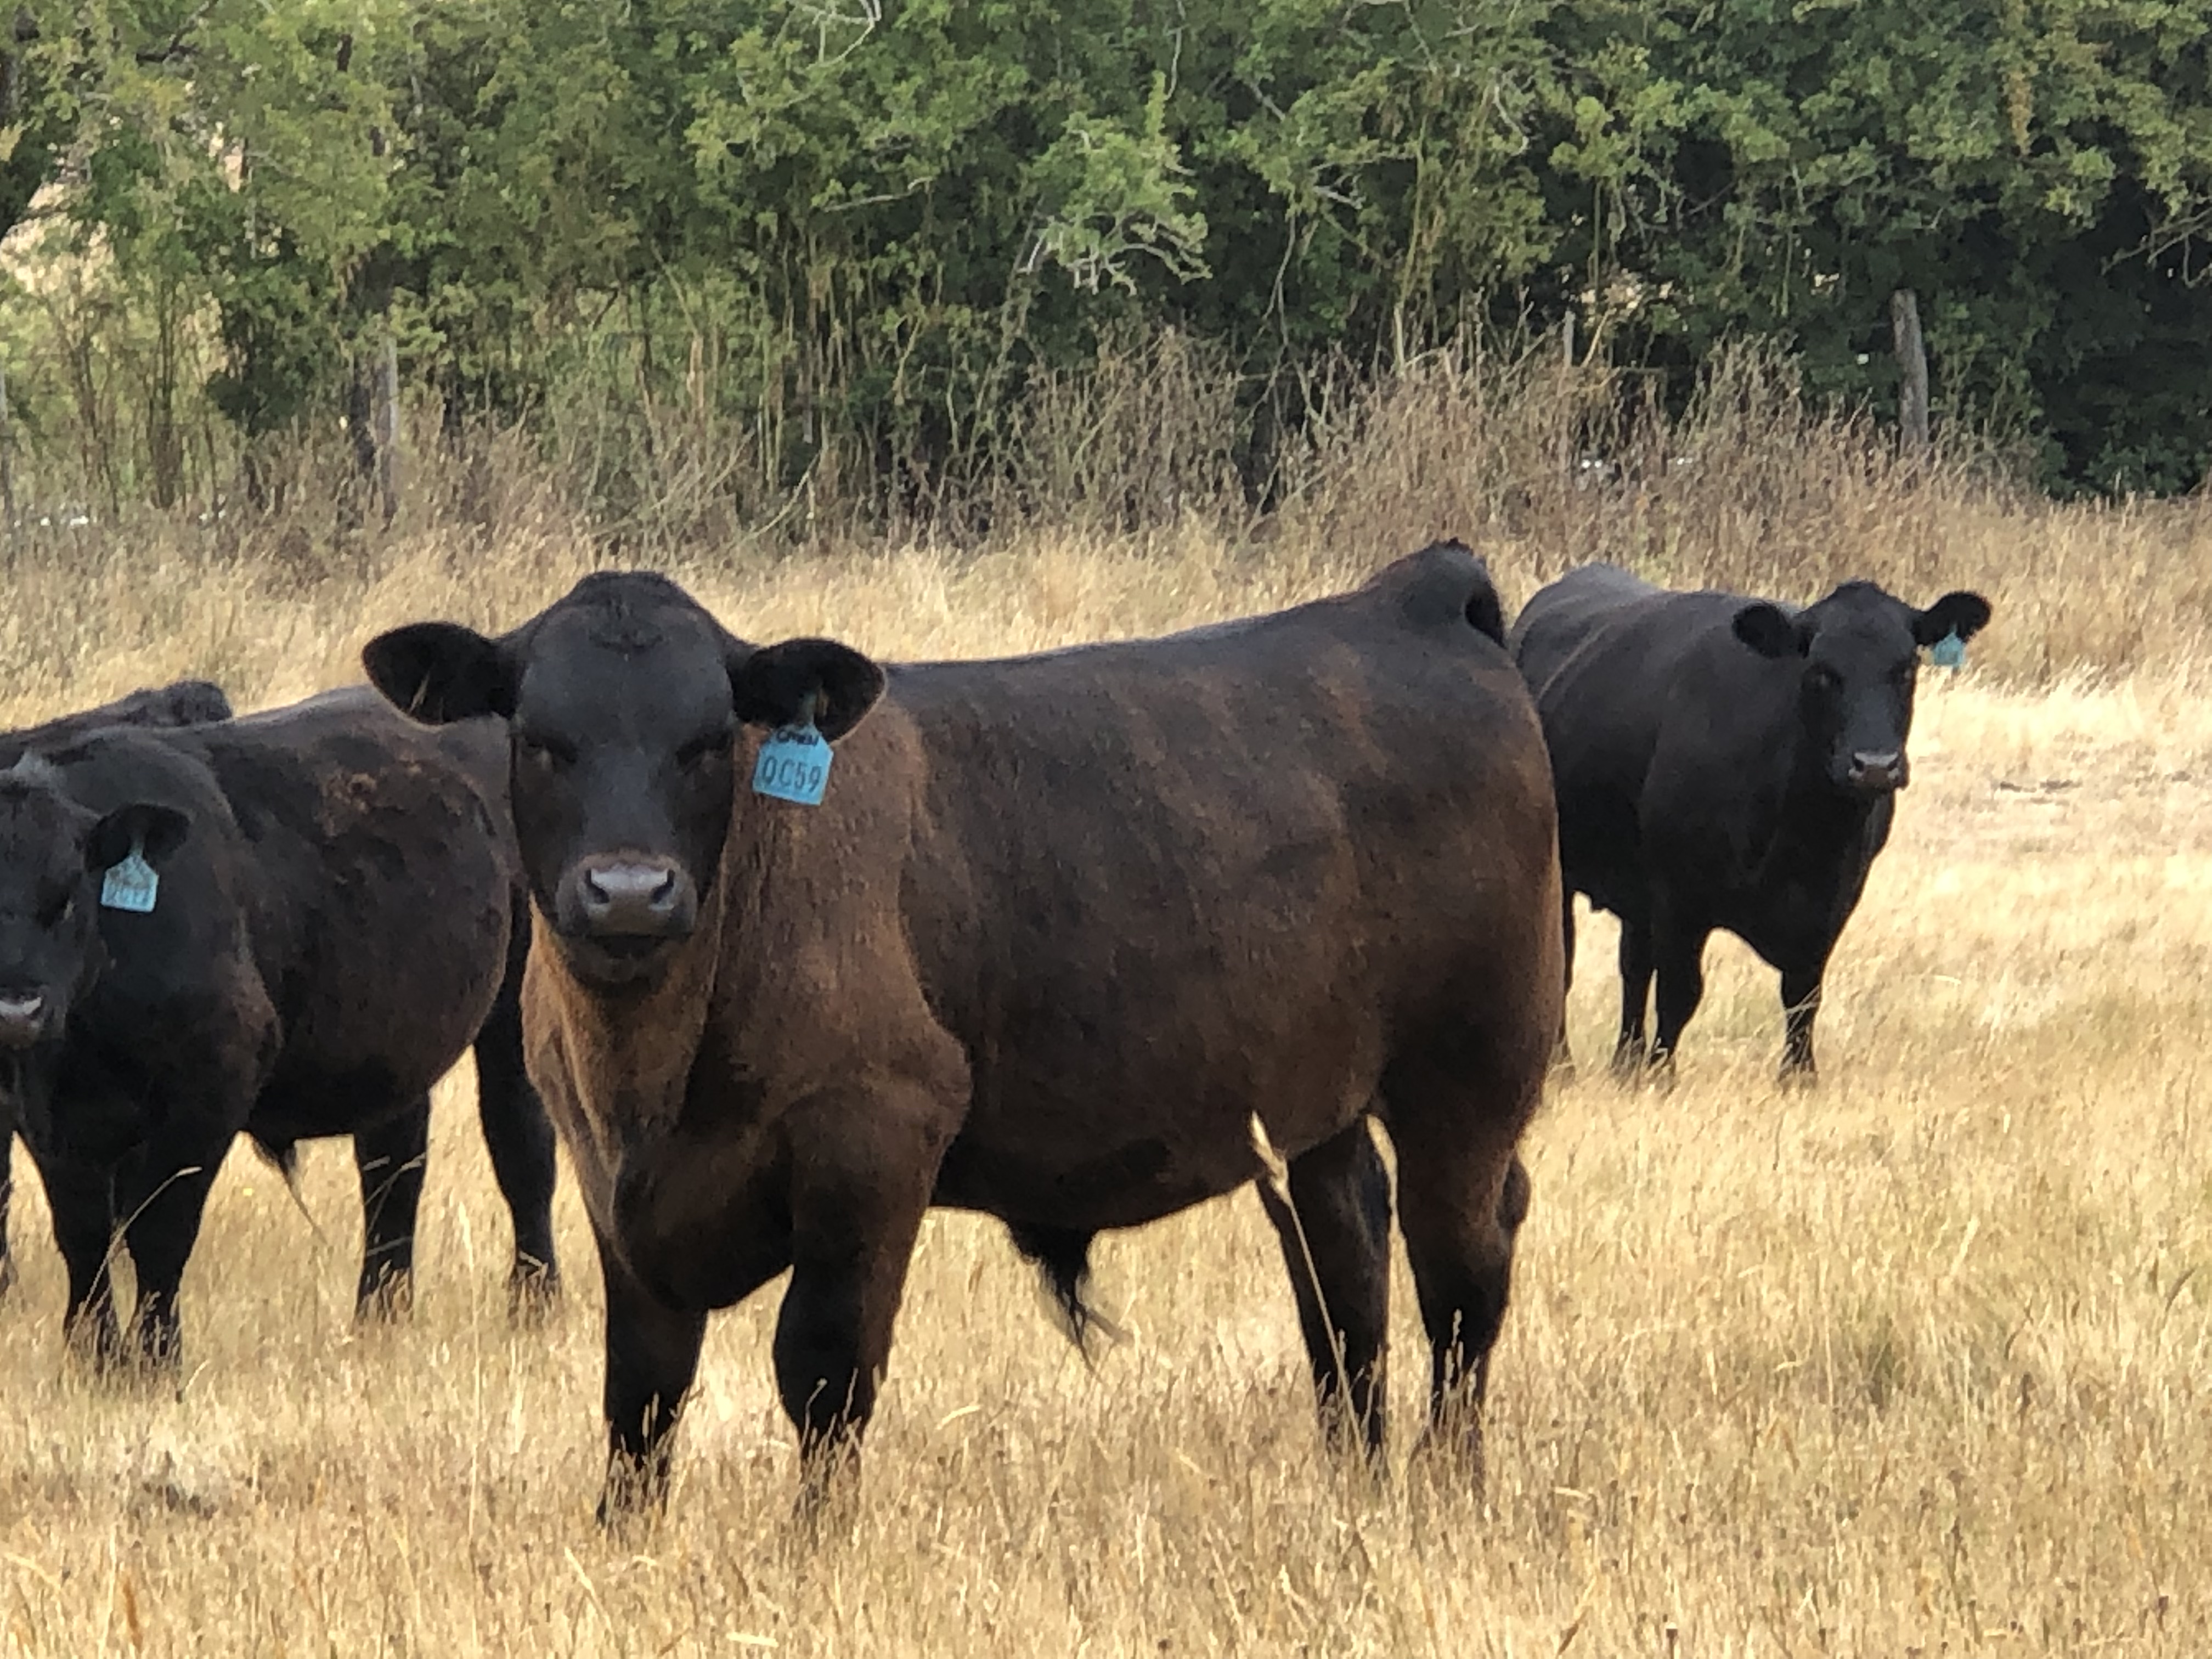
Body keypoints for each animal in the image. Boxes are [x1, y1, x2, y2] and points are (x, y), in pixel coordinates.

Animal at [362, 541, 1561, 1517]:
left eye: (707, 740)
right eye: (539, 738)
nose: (627, 895)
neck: (653, 1066)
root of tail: (1410, 599)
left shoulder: (875, 1144)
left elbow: (825, 1368)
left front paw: (815, 1546)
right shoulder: (611, 1188)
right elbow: (641, 1396)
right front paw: (628, 1537)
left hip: (1472, 1081)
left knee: (1460, 1272)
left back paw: (1449, 1483)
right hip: (1315, 1108)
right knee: (1343, 1262)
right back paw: (1356, 1477)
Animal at [1509, 563, 1991, 1080]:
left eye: (1906, 669)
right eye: (1821, 673)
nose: (1875, 766)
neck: (1805, 834)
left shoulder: (1834, 899)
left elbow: (1803, 995)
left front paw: (1799, 1078)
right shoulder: (1680, 895)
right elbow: (1680, 993)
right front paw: (1662, 1076)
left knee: (1633, 967)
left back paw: (1626, 1063)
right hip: (1561, 871)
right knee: (1563, 963)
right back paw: (1563, 1065)